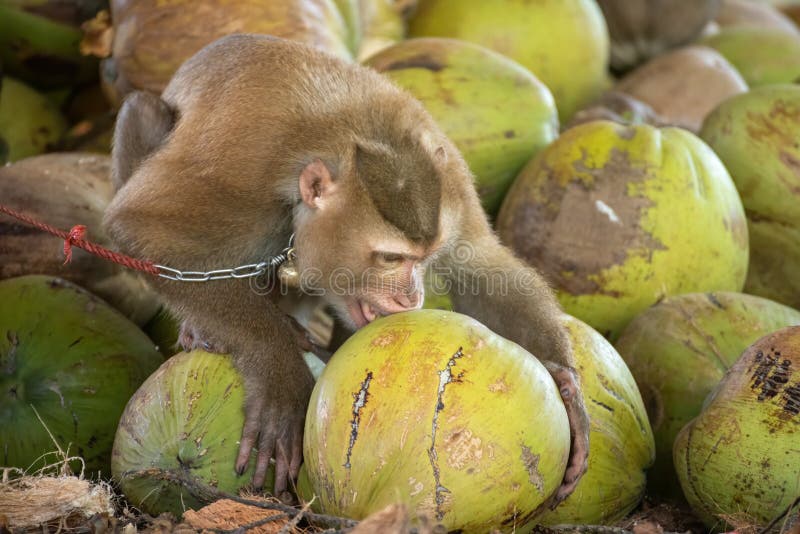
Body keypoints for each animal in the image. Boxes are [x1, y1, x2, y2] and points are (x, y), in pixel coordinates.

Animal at [105, 34, 589, 505]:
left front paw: (565, 387)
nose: (411, 296)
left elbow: (485, 267)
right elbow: (140, 228)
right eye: (392, 258)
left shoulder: (448, 172)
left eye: (423, 259)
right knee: (143, 110)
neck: (345, 136)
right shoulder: (240, 170)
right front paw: (278, 369)